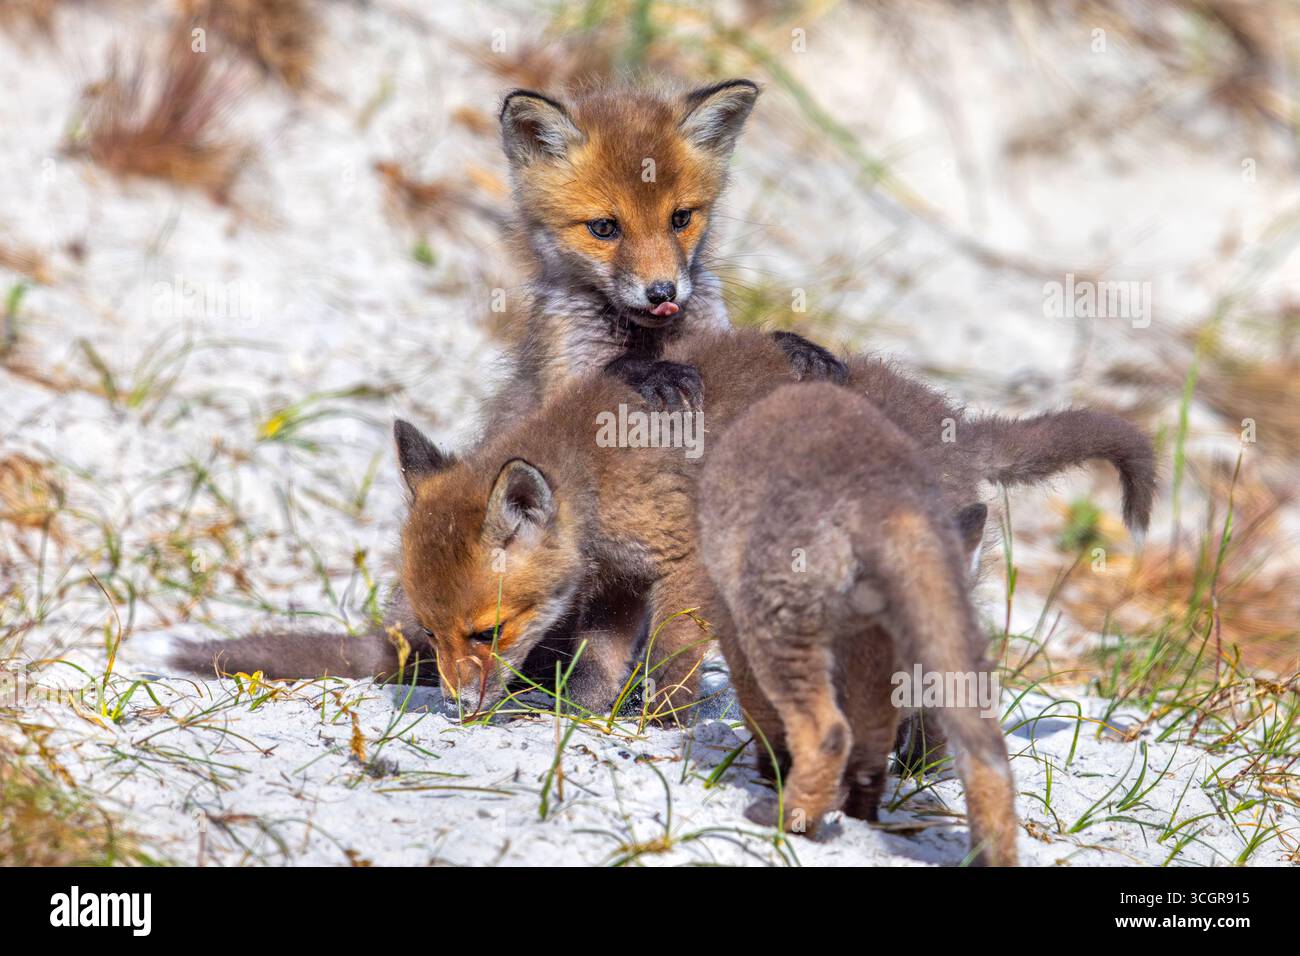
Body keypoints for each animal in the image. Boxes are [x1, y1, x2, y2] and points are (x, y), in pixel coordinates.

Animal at [696, 382, 1019, 864]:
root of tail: (890, 502)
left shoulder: (732, 623)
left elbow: (764, 718)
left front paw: (772, 772)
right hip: (901, 654)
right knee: (972, 756)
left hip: (780, 626)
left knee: (829, 733)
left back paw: (786, 818)